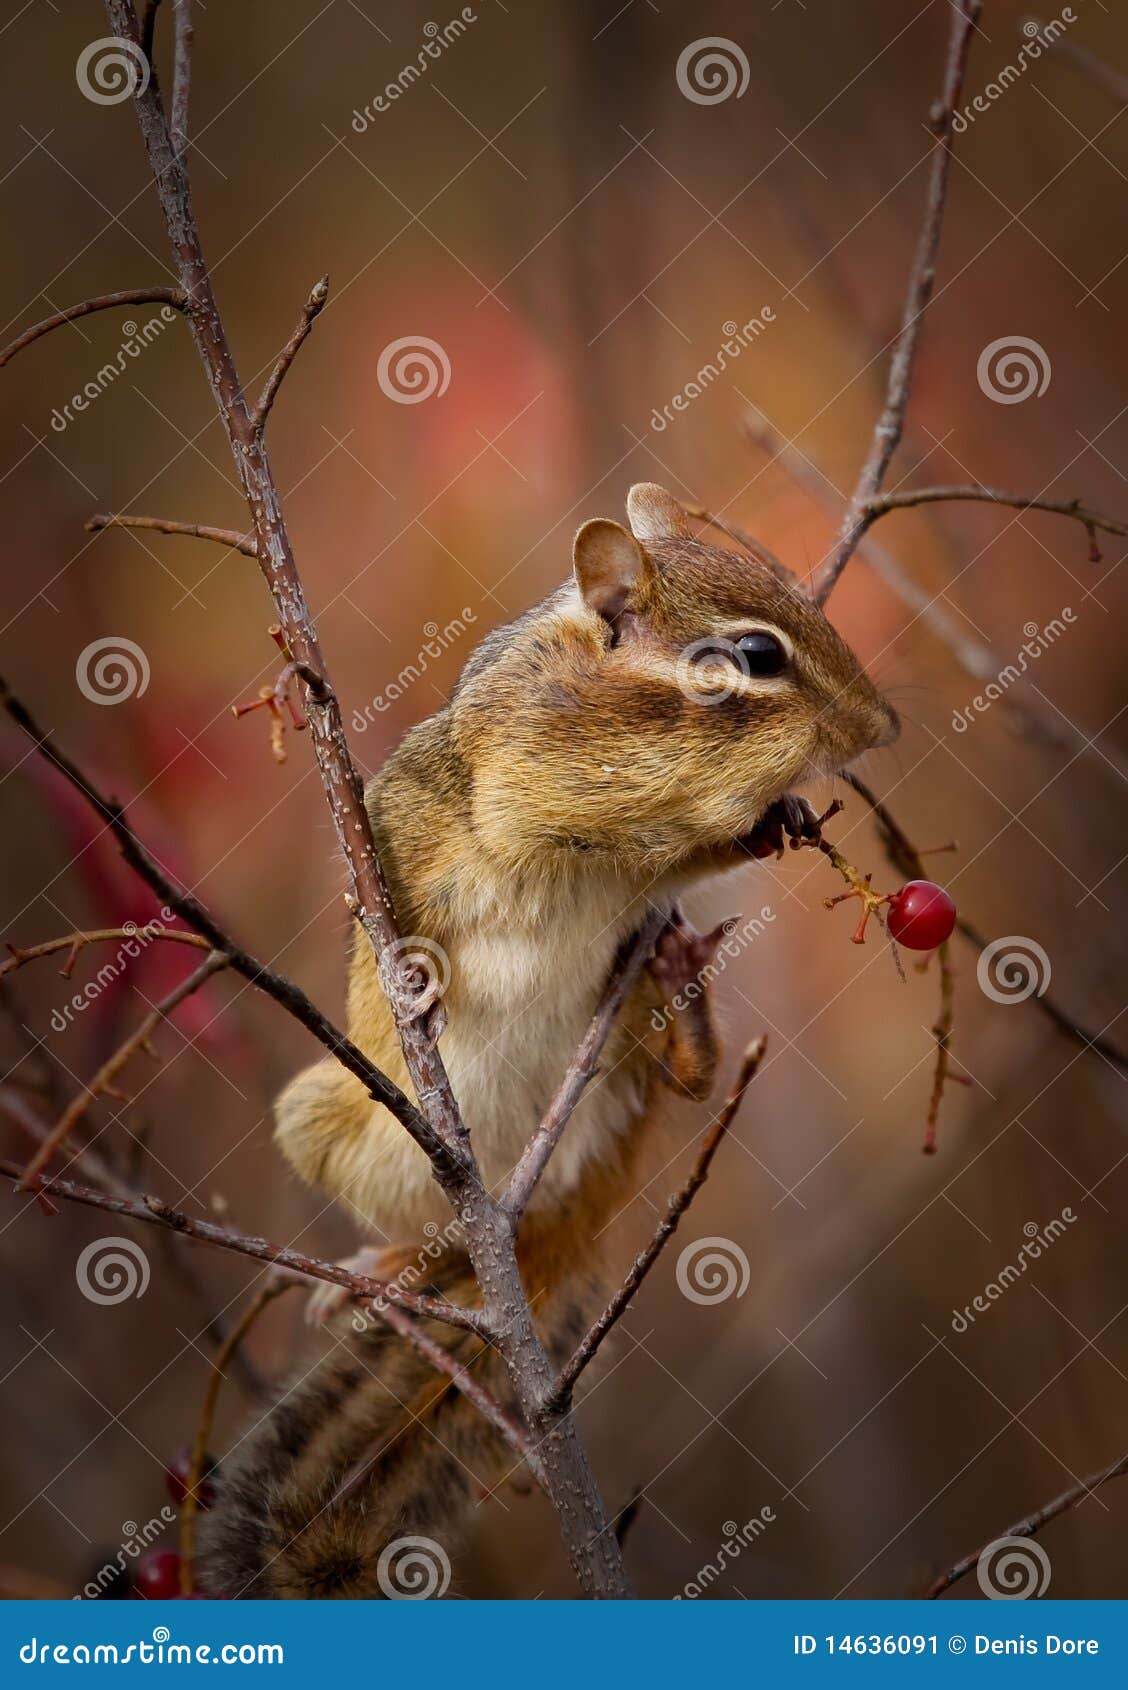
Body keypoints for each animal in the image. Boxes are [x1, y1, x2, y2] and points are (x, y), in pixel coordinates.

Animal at [198, 483, 897, 1598]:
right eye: (754, 654)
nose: (883, 724)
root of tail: (548, 1215)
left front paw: (770, 818)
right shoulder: (535, 775)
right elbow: (584, 827)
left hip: (623, 1072)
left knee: (685, 1083)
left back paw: (684, 1005)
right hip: (328, 1122)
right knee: (432, 1240)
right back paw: (393, 1266)